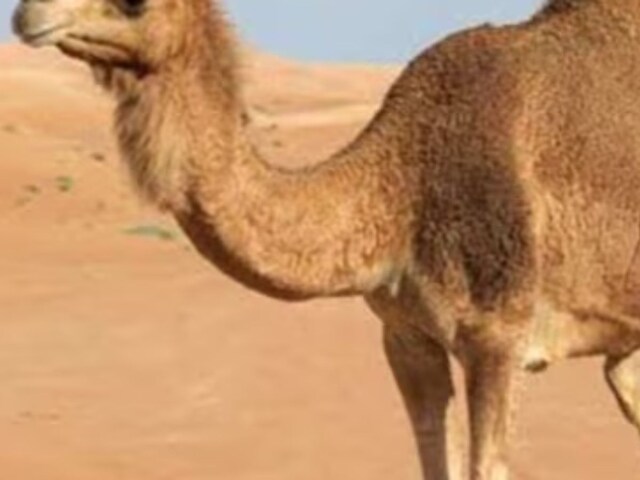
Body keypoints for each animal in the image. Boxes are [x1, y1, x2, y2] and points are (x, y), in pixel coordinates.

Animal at [12, 0, 640, 478]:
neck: (399, 185)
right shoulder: (405, 335)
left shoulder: (498, 334)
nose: (26, 15)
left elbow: (486, 466)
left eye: (134, 2)